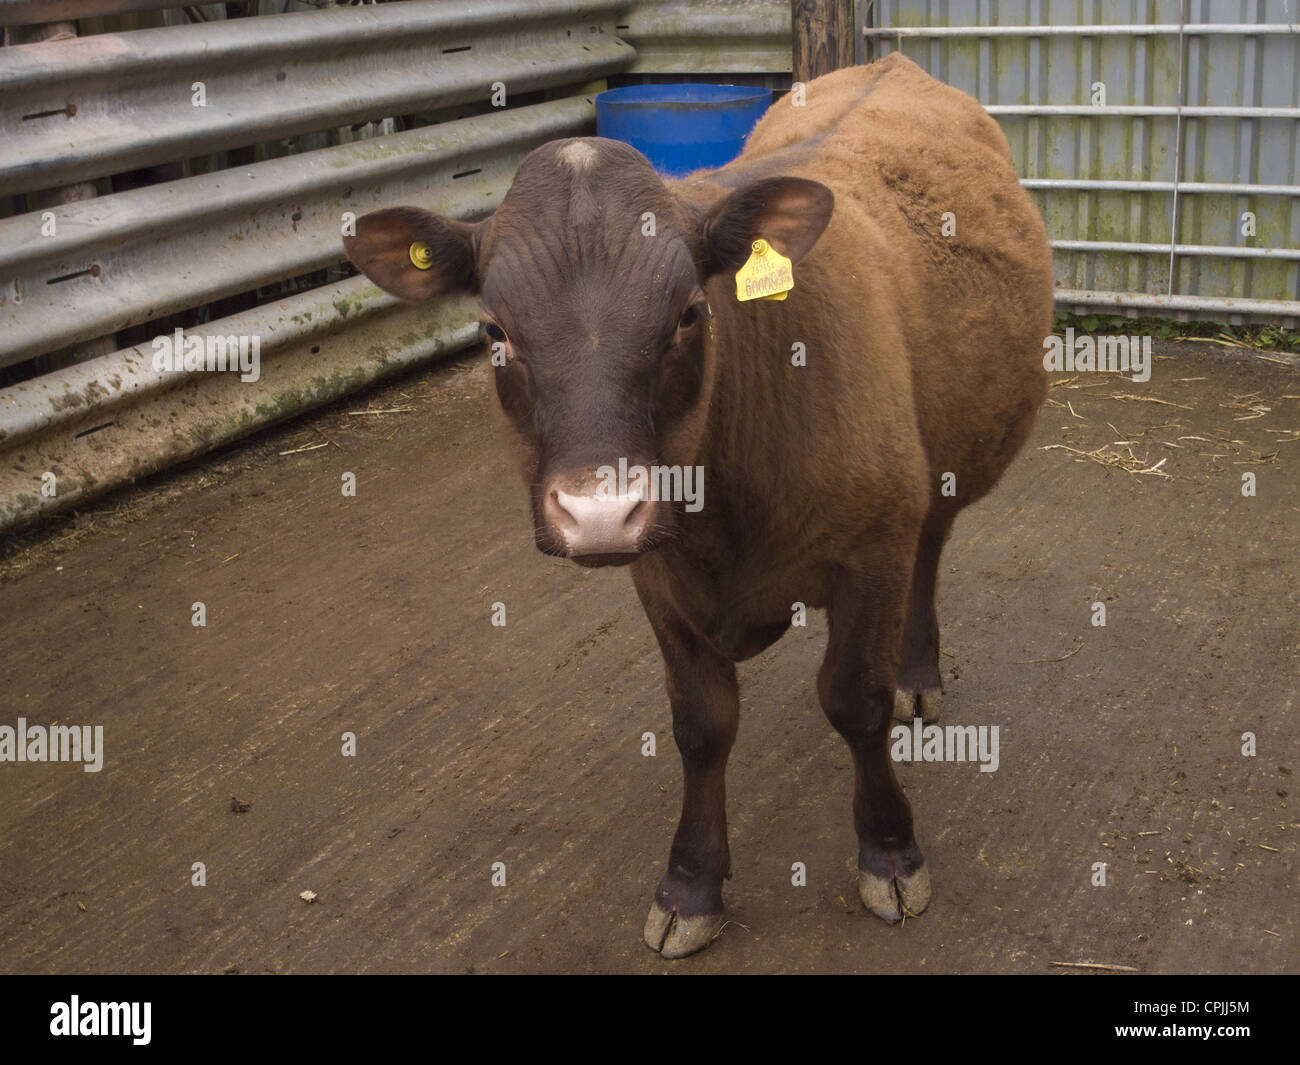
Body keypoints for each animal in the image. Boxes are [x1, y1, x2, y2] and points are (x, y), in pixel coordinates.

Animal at [343, 52, 1054, 959]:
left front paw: (891, 852)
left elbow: (854, 702)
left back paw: (917, 672)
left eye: (688, 314)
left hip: (944, 473)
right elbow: (702, 725)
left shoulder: (872, 548)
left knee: (930, 550)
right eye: (493, 333)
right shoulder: (660, 580)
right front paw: (692, 883)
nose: (599, 513)